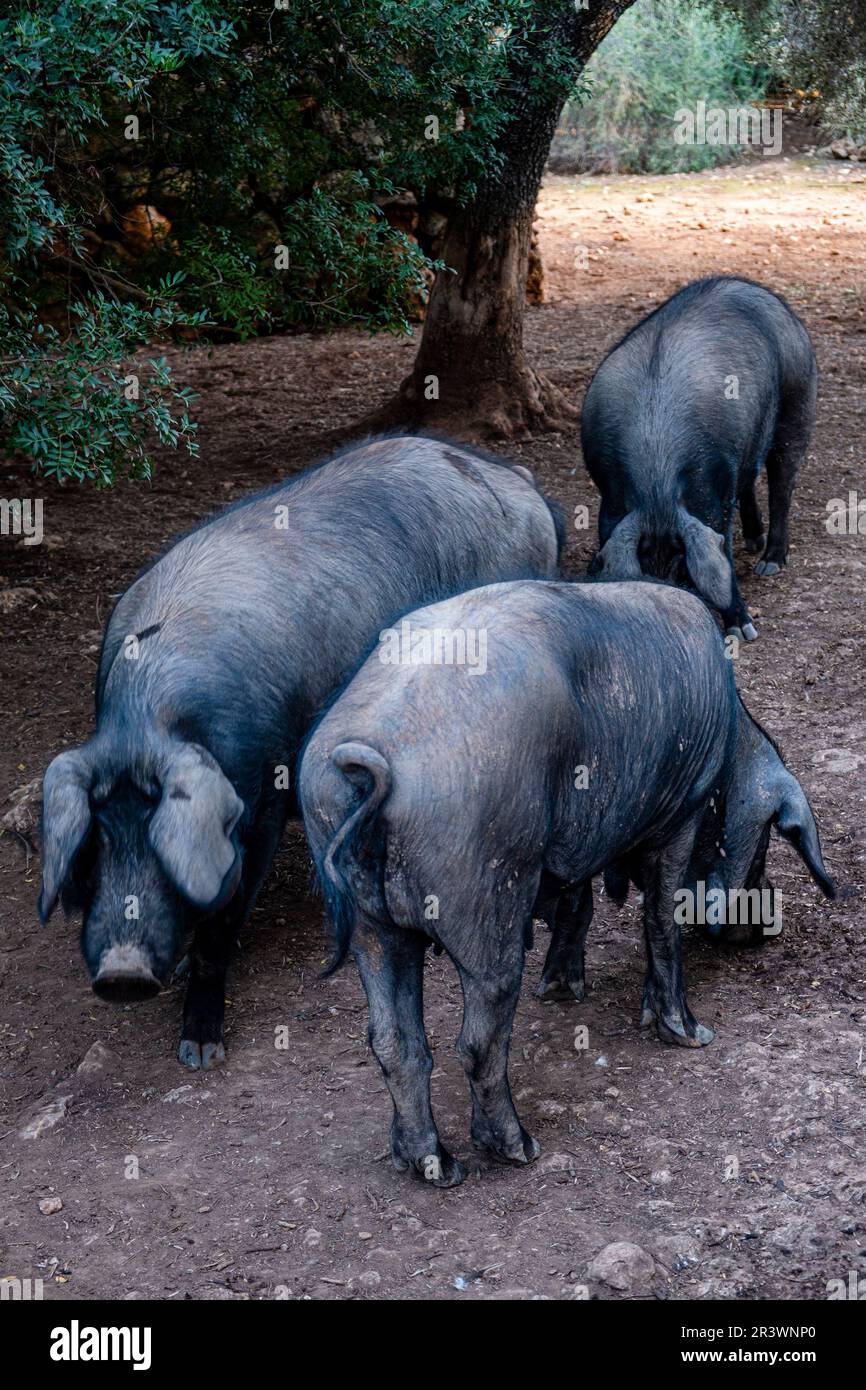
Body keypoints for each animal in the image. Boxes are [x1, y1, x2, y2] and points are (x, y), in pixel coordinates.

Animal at [38, 435, 563, 1068]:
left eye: (165, 842)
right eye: (95, 847)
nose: (123, 973)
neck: (148, 722)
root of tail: (516, 482)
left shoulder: (260, 799)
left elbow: (222, 924)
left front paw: (200, 1052)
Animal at [299, 579, 834, 1186]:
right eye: (767, 839)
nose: (765, 930)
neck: (727, 753)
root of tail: (367, 755)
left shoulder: (575, 845)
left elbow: (579, 902)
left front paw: (561, 990)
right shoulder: (682, 815)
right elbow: (661, 917)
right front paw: (692, 1035)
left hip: (369, 922)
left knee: (395, 1042)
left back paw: (434, 1167)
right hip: (486, 896)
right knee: (478, 1040)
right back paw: (519, 1148)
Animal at [581, 276, 817, 640]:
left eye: (683, 570)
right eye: (646, 568)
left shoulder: (711, 499)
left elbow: (724, 553)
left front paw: (744, 632)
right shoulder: (610, 497)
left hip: (798, 400)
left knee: (782, 487)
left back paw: (769, 563)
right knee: (749, 481)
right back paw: (754, 541)